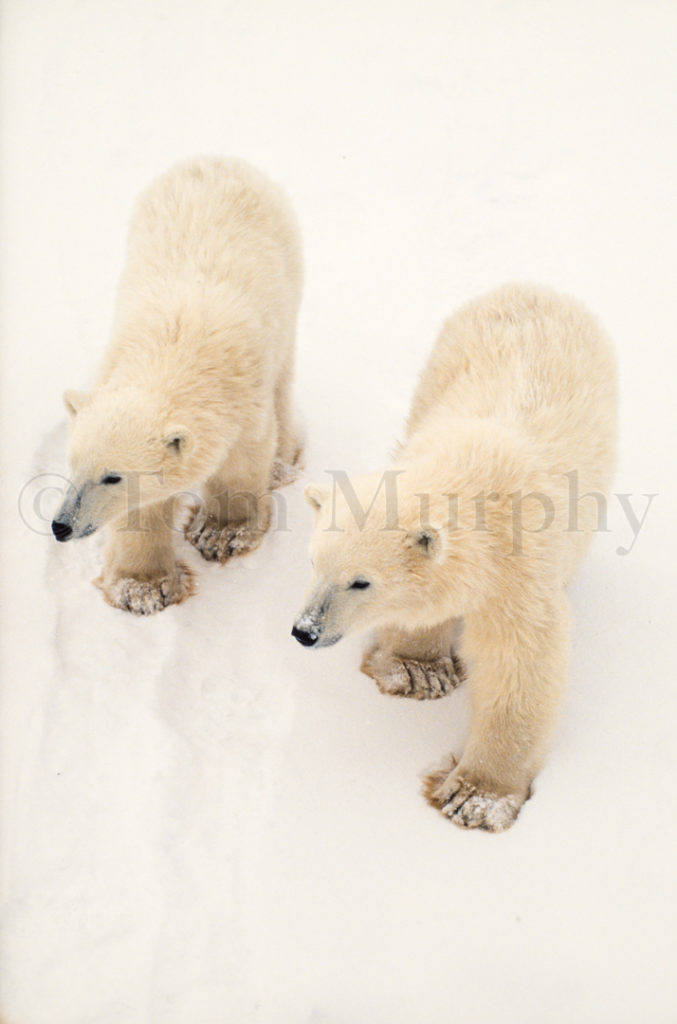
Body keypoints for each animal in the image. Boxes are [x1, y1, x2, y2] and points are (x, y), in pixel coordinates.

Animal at [53, 156, 303, 614]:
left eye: (113, 477)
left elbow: (241, 462)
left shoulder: (243, 398)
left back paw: (282, 463)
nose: (62, 526)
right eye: (73, 463)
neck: (175, 353)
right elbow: (145, 507)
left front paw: (220, 533)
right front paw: (142, 587)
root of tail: (216, 160)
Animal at [292, 283, 617, 832]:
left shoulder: (519, 572)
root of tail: (536, 288)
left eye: (361, 582)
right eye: (315, 563)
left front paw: (476, 796)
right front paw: (419, 671)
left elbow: (519, 664)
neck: (472, 478)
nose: (305, 631)